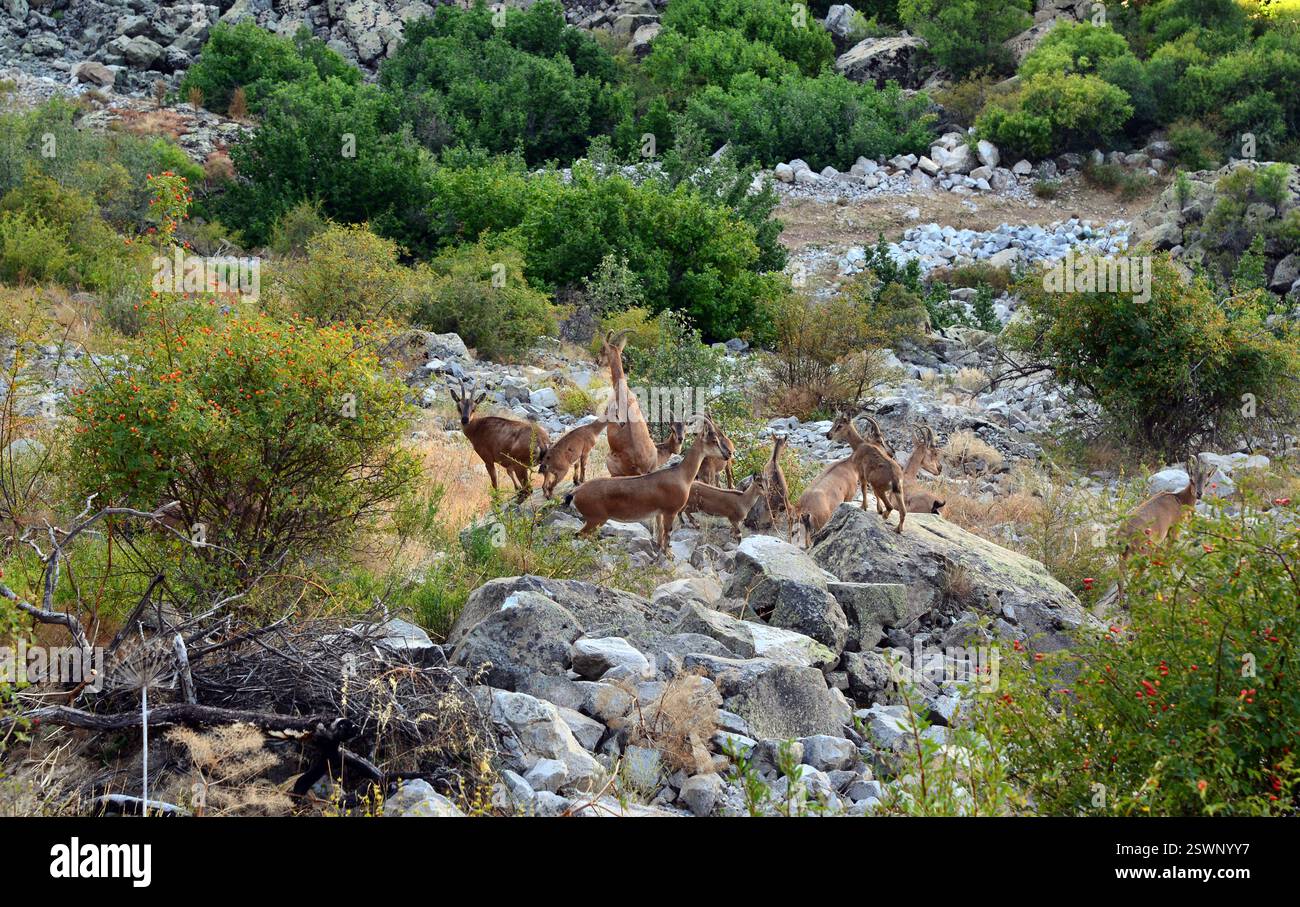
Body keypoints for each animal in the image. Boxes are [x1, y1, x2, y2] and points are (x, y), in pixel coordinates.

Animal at [566, 416, 729, 554]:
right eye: (714, 440)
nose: (727, 455)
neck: (681, 475)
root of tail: (575, 492)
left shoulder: (660, 512)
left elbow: (660, 533)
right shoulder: (670, 512)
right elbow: (667, 533)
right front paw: (668, 555)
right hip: (596, 519)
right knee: (579, 534)